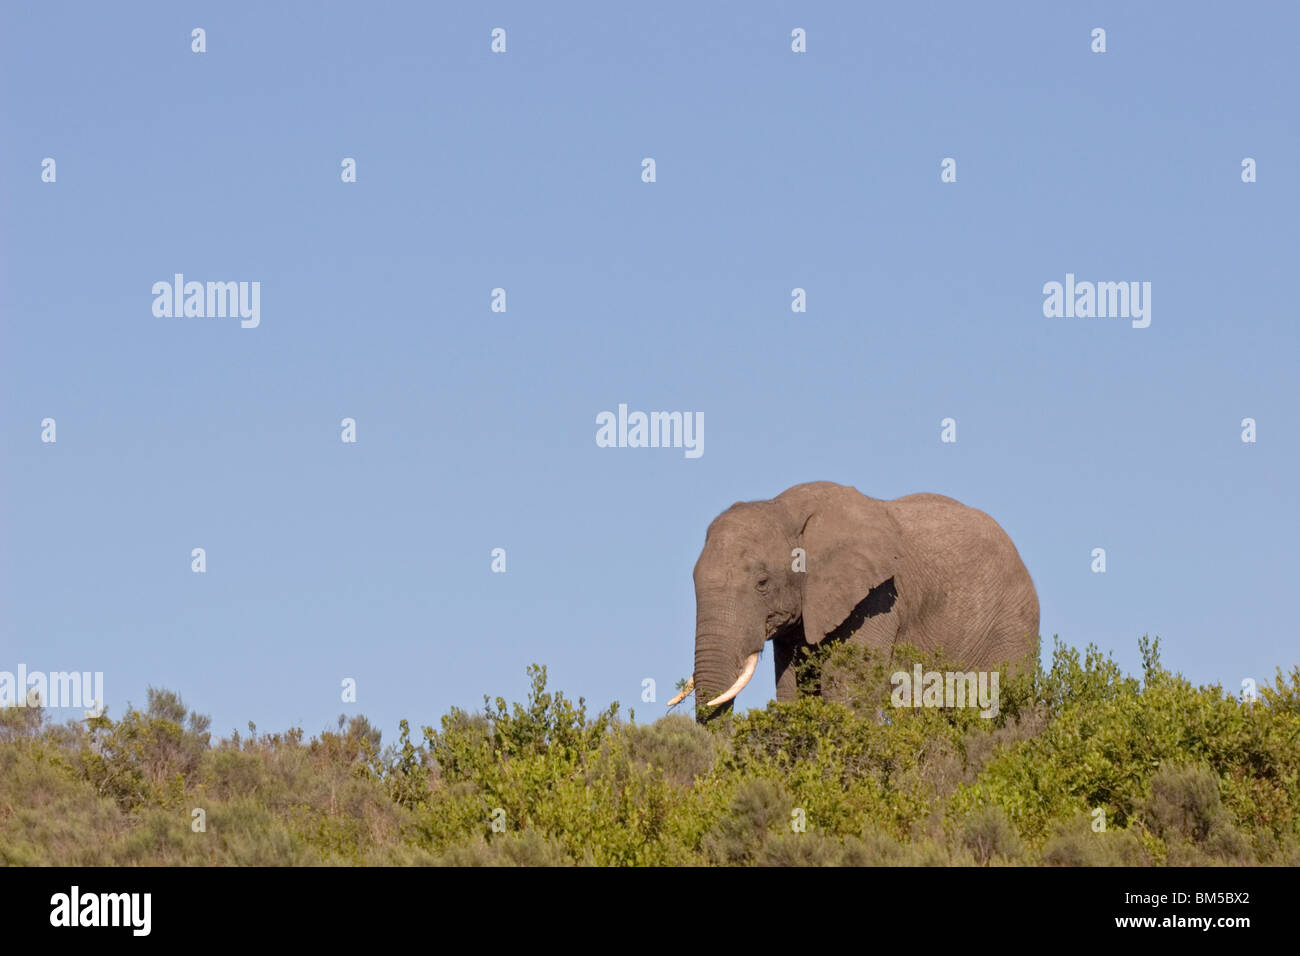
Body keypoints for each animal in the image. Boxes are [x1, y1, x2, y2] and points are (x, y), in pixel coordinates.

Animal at [668, 481, 1039, 721]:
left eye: (762, 584)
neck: (785, 510)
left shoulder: (875, 600)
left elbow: (845, 688)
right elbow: (792, 690)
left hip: (1011, 627)